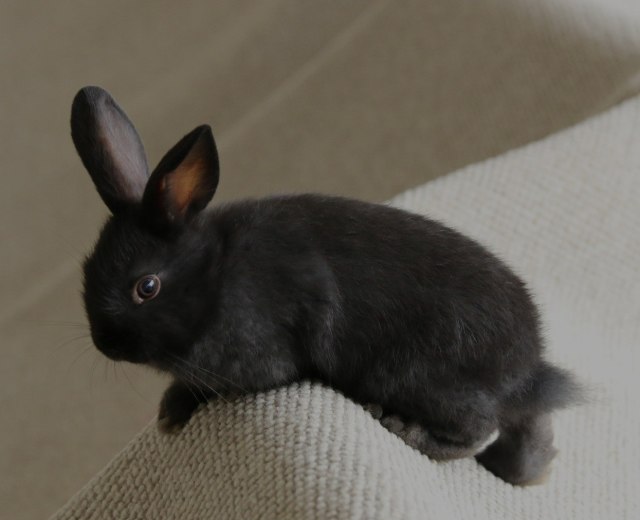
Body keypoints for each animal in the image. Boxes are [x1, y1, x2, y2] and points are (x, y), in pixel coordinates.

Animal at [71, 86, 581, 486]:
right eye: (85, 271)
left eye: (147, 287)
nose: (103, 343)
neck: (214, 274)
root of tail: (528, 371)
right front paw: (167, 413)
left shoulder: (257, 359)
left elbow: (211, 386)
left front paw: (172, 412)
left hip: (419, 376)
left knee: (478, 429)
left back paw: (404, 428)